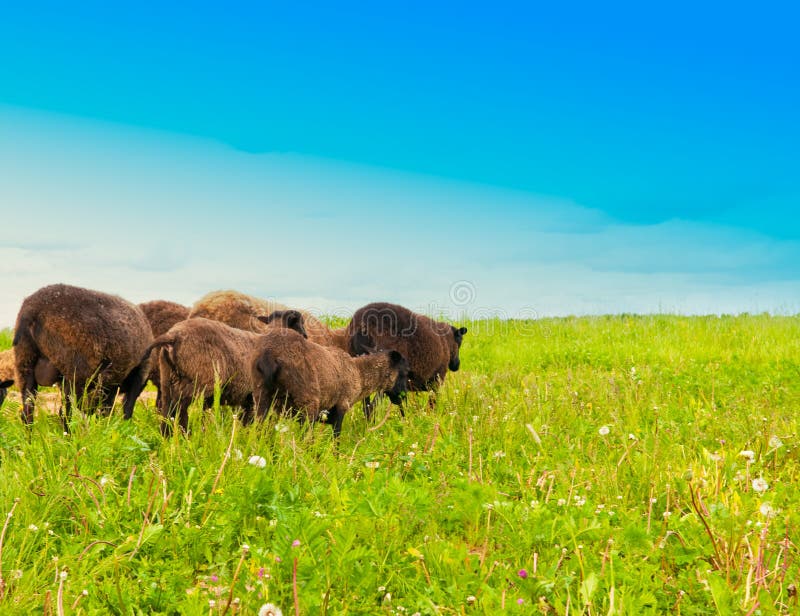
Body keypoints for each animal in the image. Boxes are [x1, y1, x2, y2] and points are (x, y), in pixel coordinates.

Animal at [13, 284, 154, 426]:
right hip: (75, 373)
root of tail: (33, 311)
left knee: (28, 412)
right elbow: (125, 408)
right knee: (66, 413)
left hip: (25, 364)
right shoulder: (135, 375)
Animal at [143, 311, 307, 436]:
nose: (306, 337)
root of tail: (173, 335)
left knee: (167, 411)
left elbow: (246, 420)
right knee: (180, 411)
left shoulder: (247, 399)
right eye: (299, 324)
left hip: (167, 380)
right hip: (197, 382)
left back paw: (167, 437)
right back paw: (186, 437)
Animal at [251, 328, 410, 437]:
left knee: (261, 433)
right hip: (307, 402)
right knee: (305, 439)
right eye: (405, 372)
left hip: (262, 397)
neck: (359, 373)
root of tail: (269, 355)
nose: (403, 398)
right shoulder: (341, 407)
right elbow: (336, 440)